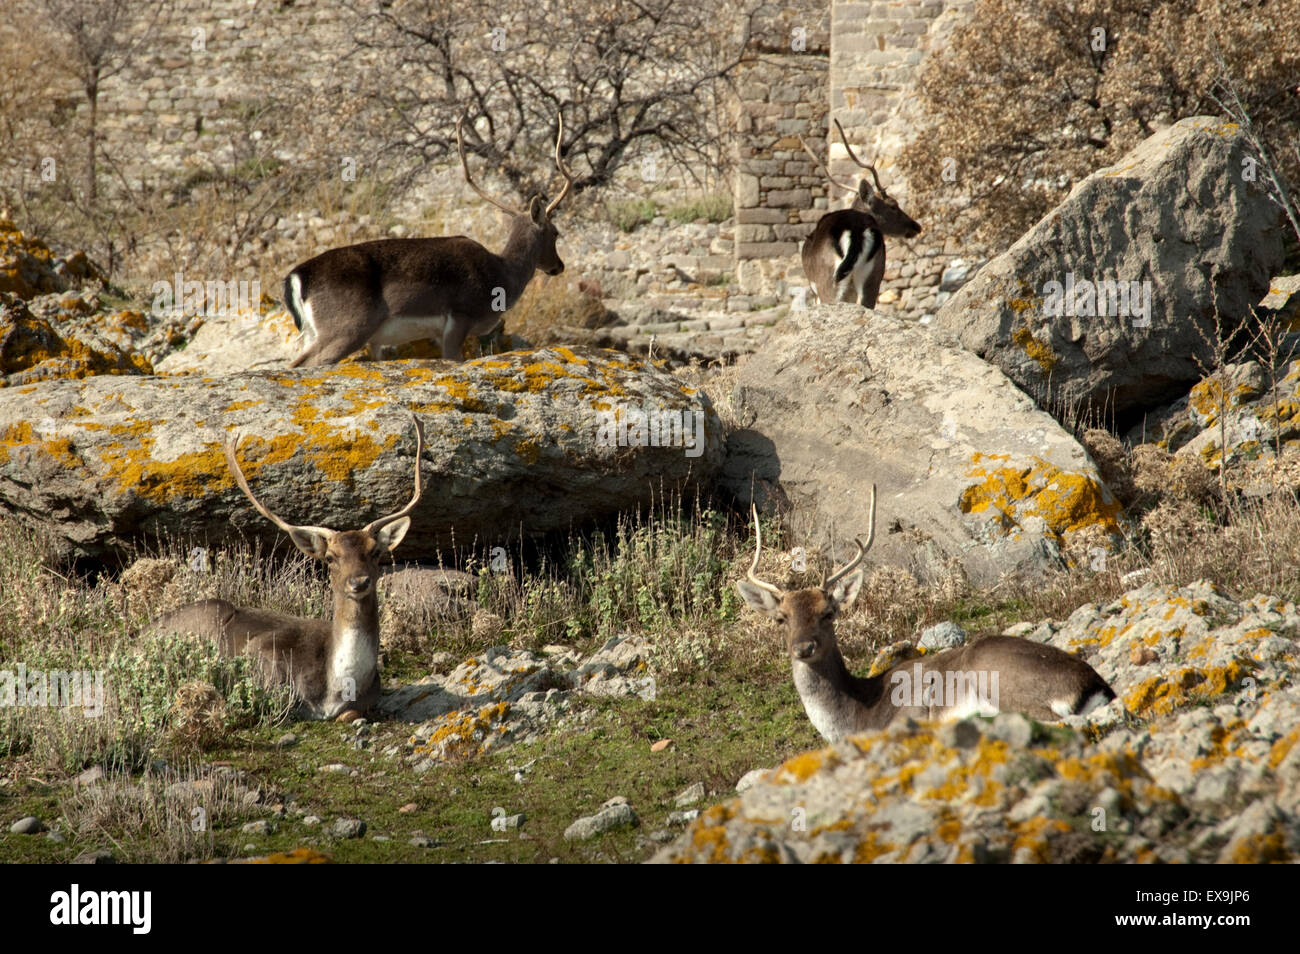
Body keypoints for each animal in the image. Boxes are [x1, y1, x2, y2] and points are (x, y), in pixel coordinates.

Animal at [283, 113, 575, 366]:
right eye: (556, 232)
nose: (558, 266)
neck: (502, 277)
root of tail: (296, 278)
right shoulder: (460, 316)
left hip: (314, 332)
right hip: (347, 326)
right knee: (302, 363)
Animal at [735, 486, 1116, 743]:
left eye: (828, 613)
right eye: (781, 618)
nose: (803, 648)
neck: (857, 716)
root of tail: (1094, 687)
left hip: (1003, 682)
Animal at [798, 119, 922, 309]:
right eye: (893, 205)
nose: (916, 226)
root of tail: (856, 231)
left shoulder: (815, 291)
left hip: (828, 281)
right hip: (873, 275)